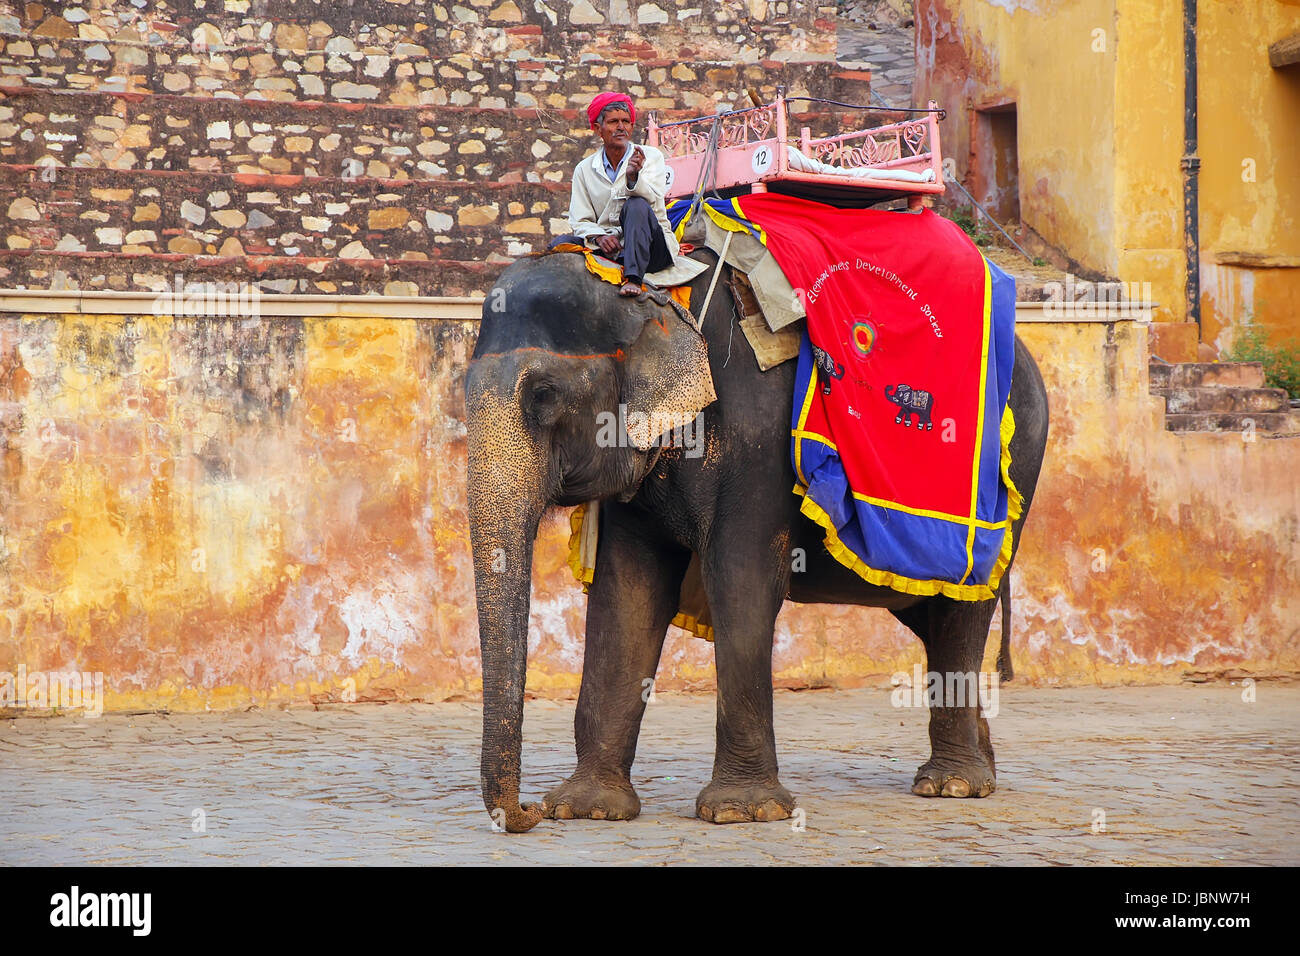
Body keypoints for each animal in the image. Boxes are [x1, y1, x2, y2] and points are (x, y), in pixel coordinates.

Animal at [465, 248, 1049, 833]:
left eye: (544, 395)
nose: (529, 811)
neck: (651, 289)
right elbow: (627, 593)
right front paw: (587, 809)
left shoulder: (759, 443)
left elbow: (739, 582)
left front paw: (742, 811)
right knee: (931, 618)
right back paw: (981, 770)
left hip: (1010, 472)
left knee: (960, 615)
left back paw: (951, 785)